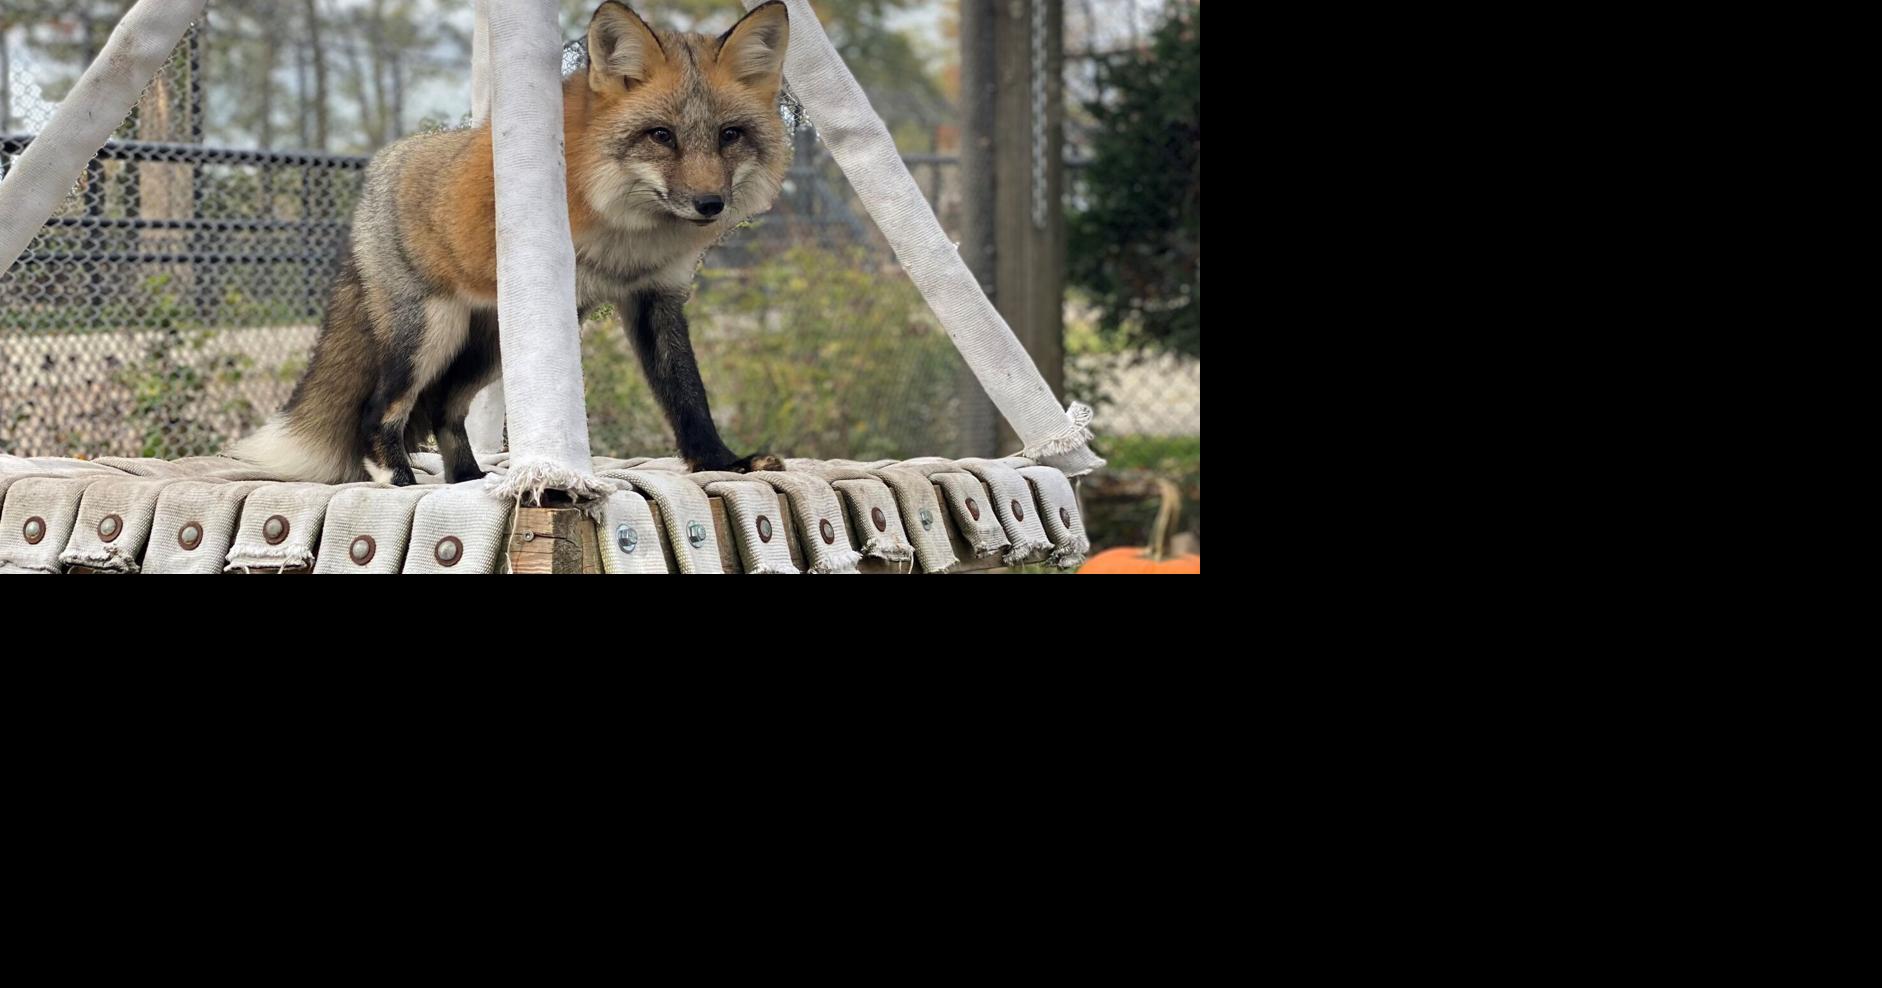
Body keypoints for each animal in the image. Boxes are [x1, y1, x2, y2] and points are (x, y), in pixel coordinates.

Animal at [228, 1, 792, 486]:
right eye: (661, 136)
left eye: (730, 135)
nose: (709, 203)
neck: (629, 237)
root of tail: (379, 168)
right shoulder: (557, 298)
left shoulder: (656, 295)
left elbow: (687, 394)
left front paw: (722, 462)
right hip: (431, 334)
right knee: (380, 407)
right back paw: (399, 478)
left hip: (486, 344)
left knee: (442, 406)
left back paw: (467, 479)